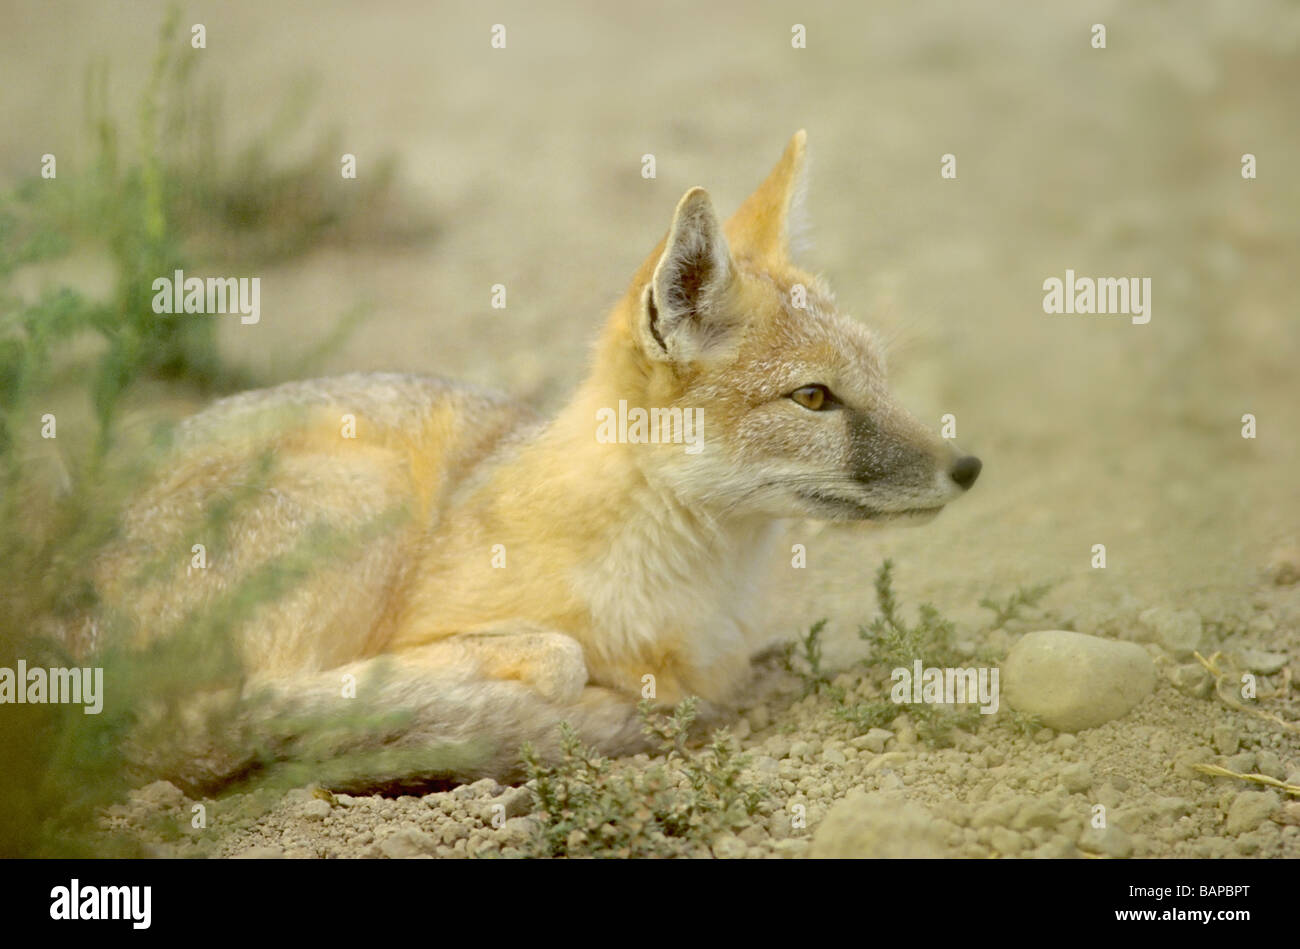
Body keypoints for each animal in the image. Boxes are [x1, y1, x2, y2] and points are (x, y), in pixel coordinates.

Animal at [94, 131, 981, 792]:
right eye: (814, 398)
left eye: (880, 376)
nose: (967, 465)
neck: (680, 587)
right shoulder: (441, 617)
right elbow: (557, 656)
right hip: (362, 494)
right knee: (254, 701)